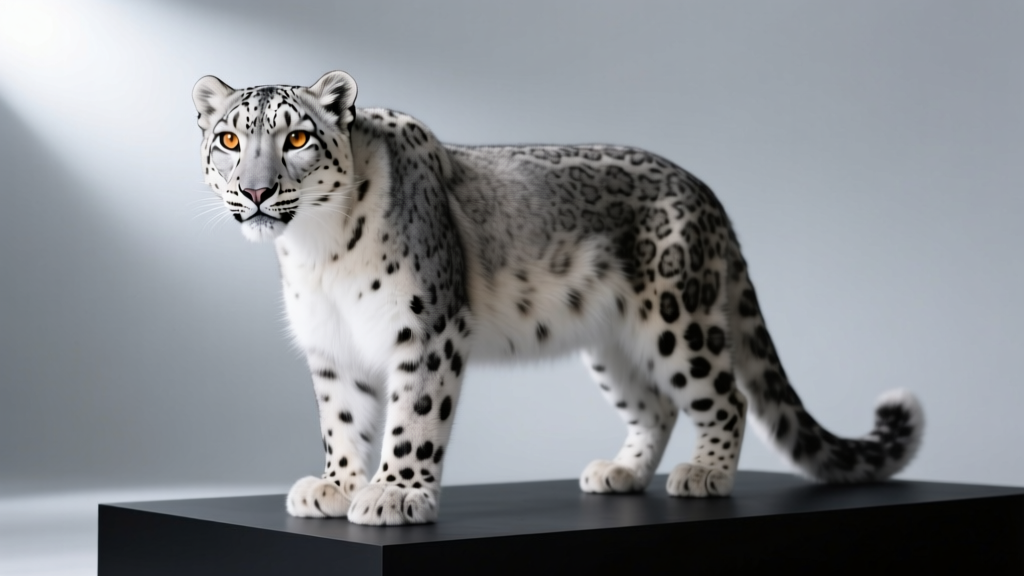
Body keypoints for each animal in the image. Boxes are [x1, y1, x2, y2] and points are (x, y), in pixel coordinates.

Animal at [191, 71, 924, 526]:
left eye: (297, 137)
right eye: (229, 138)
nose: (256, 191)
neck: (318, 254)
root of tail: (703, 189)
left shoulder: (426, 329)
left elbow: (414, 419)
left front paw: (394, 496)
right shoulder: (332, 347)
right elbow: (343, 421)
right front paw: (338, 485)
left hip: (677, 318)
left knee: (725, 394)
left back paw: (705, 476)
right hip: (613, 343)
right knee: (655, 405)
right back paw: (621, 473)